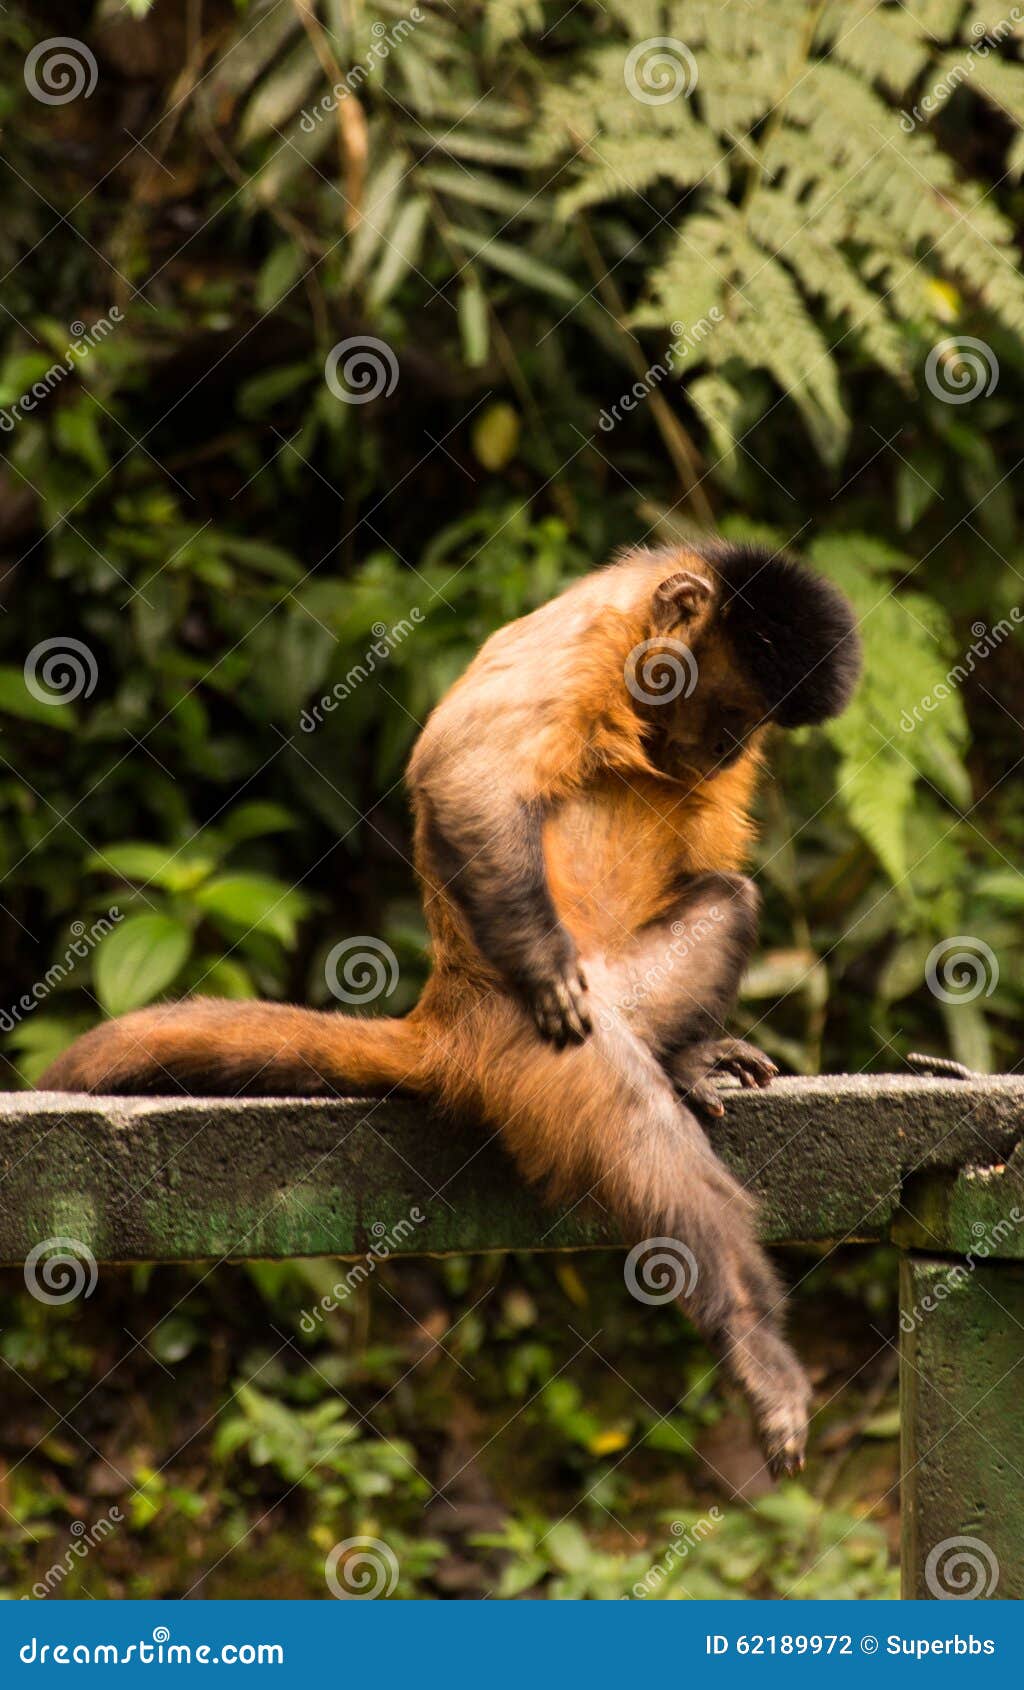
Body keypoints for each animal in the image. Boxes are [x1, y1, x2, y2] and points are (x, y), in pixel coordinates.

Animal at [40, 538, 861, 1477]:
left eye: (750, 728)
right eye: (729, 709)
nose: (730, 748)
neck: (634, 636)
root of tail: (448, 1011)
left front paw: (695, 1054)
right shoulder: (581, 638)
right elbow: (466, 774)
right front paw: (541, 959)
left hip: (618, 993)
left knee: (727, 900)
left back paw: (679, 1059)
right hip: (530, 1035)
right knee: (636, 1128)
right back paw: (754, 1341)